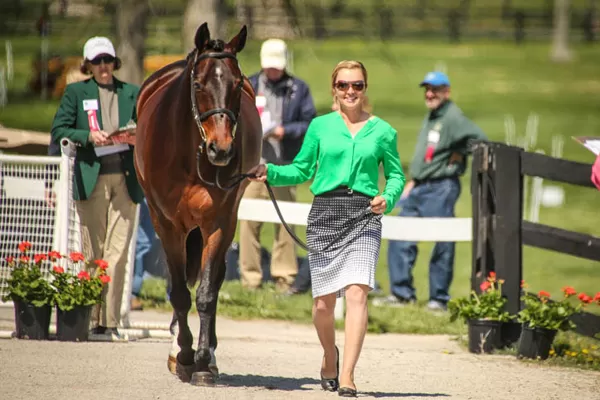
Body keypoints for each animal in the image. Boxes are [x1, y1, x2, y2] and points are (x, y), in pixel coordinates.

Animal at [136, 23, 262, 386]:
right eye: (198, 84)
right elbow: (179, 292)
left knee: (214, 281)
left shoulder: (218, 223)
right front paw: (183, 355)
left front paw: (204, 361)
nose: (222, 149)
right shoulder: (167, 225)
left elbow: (206, 293)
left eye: (238, 83)